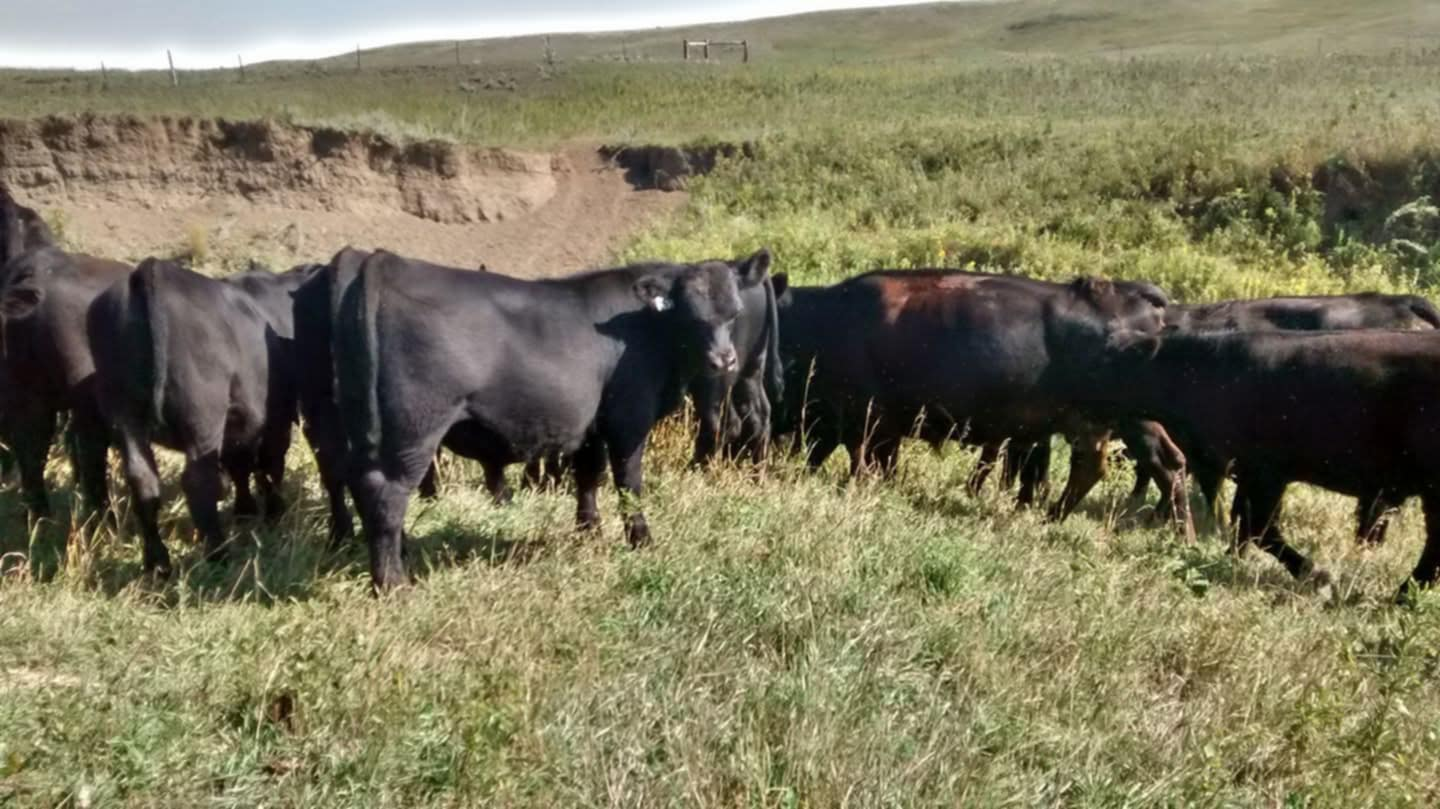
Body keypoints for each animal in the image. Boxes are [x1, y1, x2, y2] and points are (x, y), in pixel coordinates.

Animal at [87, 258, 315, 574]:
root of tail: (152, 270)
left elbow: (241, 466)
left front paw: (245, 511)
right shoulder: (276, 420)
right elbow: (269, 466)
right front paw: (272, 513)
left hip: (123, 414)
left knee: (143, 480)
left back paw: (157, 562)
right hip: (202, 418)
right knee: (198, 481)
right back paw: (218, 554)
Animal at [308, 247, 772, 590]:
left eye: (733, 313)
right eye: (692, 315)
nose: (724, 360)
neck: (645, 328)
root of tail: (382, 261)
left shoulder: (591, 424)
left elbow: (588, 476)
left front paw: (589, 531)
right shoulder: (629, 417)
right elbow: (628, 482)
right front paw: (641, 539)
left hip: (358, 426)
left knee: (358, 483)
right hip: (413, 429)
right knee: (386, 494)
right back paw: (392, 583)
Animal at [1091, 328, 1440, 602]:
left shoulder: (1266, 472)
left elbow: (1260, 527)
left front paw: (1317, 575)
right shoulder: (1245, 470)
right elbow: (1242, 522)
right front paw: (1231, 560)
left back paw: (1402, 595)